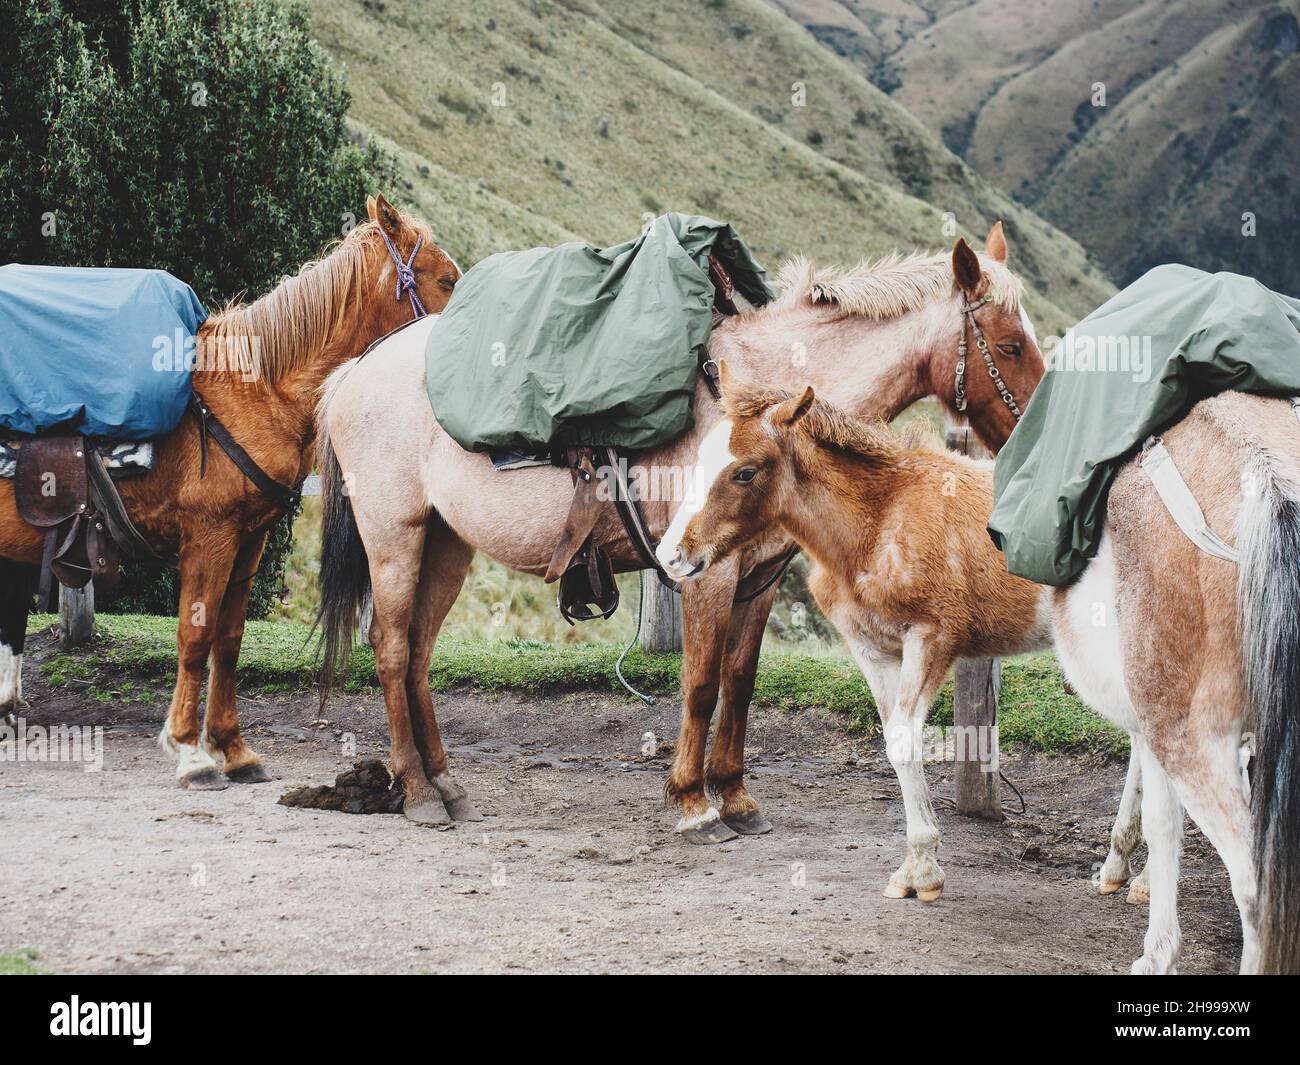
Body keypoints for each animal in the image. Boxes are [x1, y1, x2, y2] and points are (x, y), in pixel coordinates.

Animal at [0, 195, 461, 790]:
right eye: (447, 279)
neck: (253, 391)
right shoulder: (209, 538)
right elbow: (195, 637)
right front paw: (189, 750)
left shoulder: (248, 541)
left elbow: (228, 640)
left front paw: (233, 748)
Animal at [314, 224, 1046, 838]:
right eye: (1010, 345)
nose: (1036, 440)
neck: (760, 402)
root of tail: (356, 370)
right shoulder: (706, 574)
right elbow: (699, 683)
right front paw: (693, 801)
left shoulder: (759, 577)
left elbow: (740, 681)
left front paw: (737, 795)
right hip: (394, 536)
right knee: (391, 648)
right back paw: (416, 791)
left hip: (445, 544)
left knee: (418, 652)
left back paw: (445, 783)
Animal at [658, 369, 1299, 974]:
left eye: (745, 472)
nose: (671, 556)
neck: (881, 517)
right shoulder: (874, 652)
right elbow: (894, 740)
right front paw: (913, 868)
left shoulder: (932, 640)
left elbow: (905, 742)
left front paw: (925, 869)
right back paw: (1127, 873)